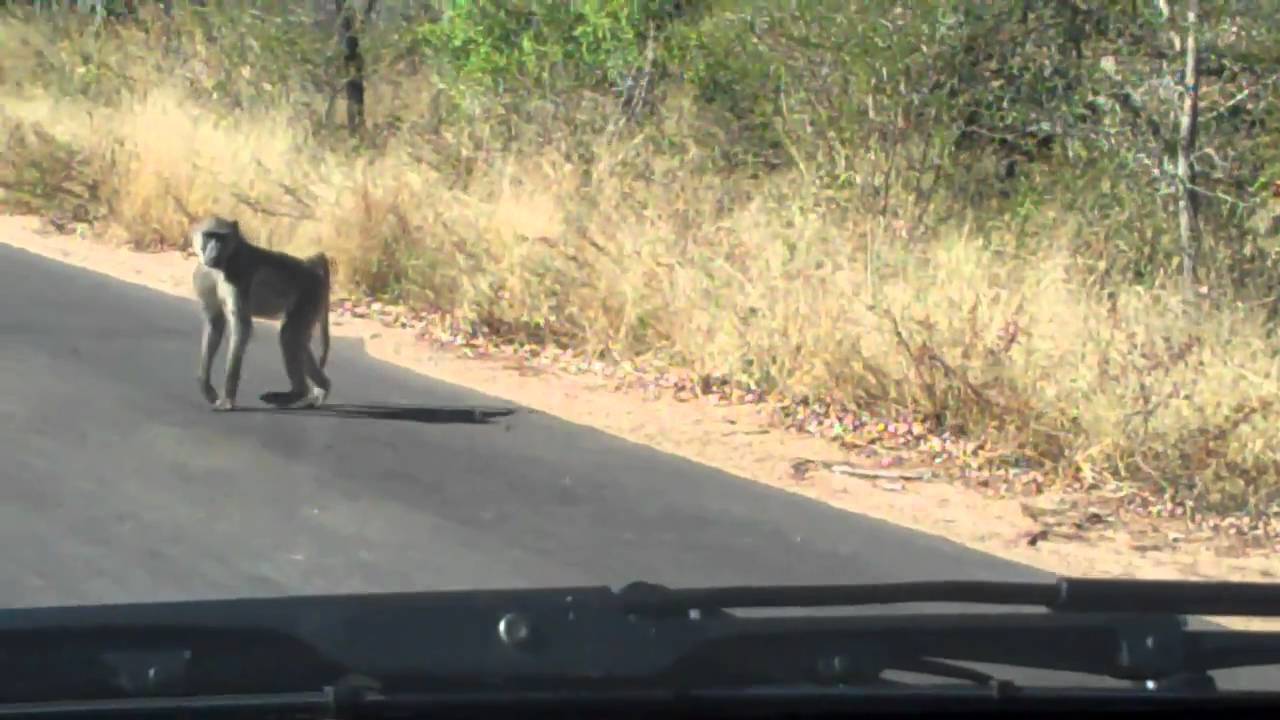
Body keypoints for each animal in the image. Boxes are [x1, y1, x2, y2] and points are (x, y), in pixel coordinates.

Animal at [191, 216, 332, 411]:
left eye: (221, 238)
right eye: (209, 236)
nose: (214, 252)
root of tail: (311, 270)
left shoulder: (239, 275)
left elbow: (241, 327)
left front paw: (227, 399)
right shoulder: (203, 275)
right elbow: (214, 324)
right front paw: (206, 388)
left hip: (309, 296)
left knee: (289, 336)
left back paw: (297, 393)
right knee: (298, 340)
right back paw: (321, 388)